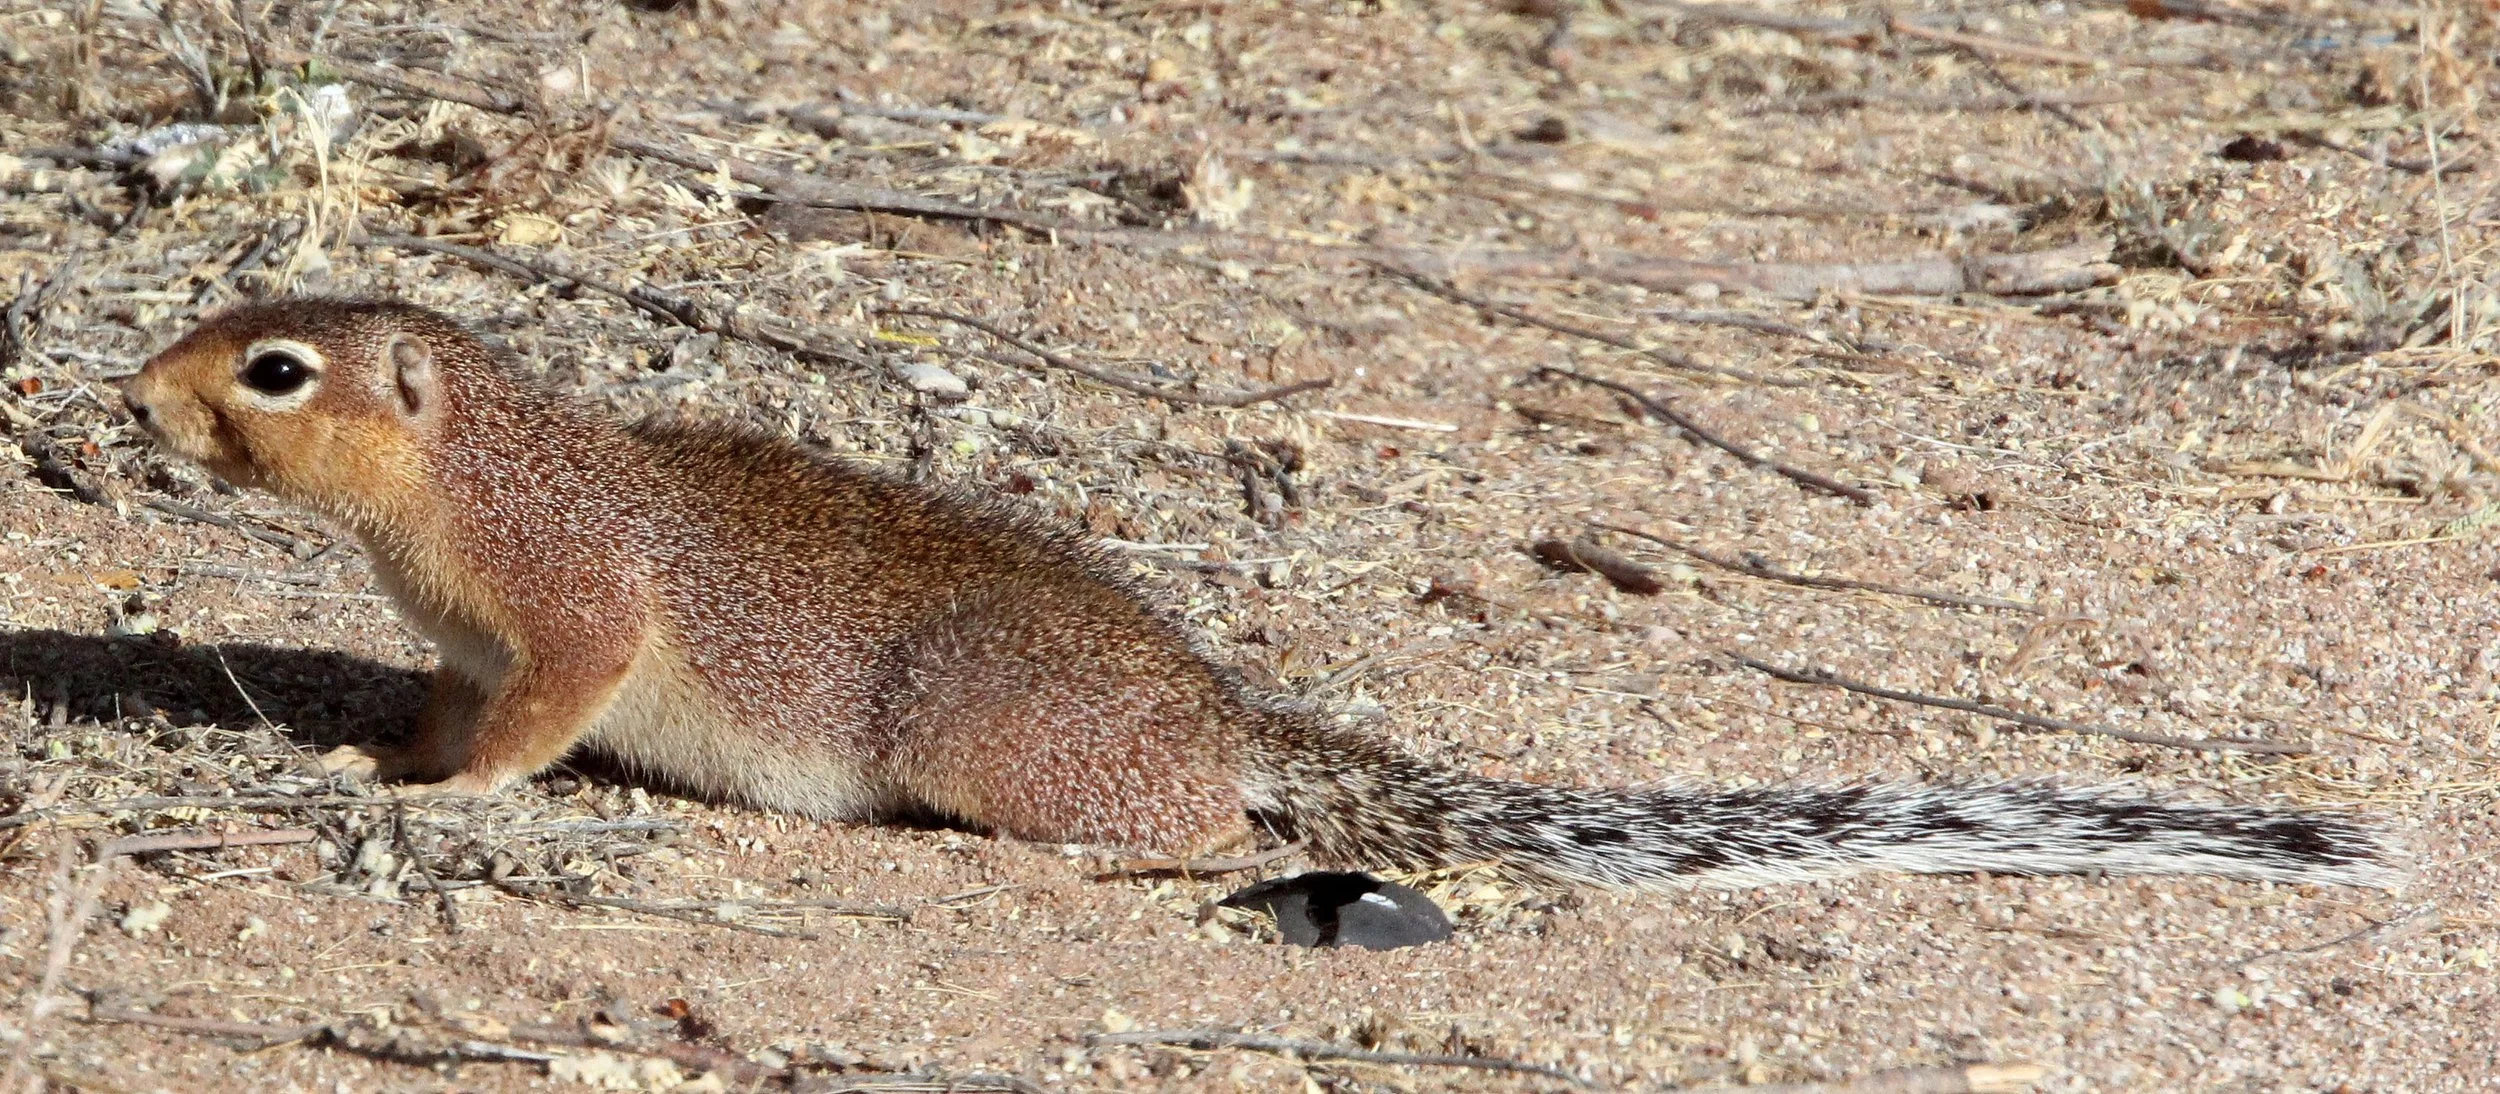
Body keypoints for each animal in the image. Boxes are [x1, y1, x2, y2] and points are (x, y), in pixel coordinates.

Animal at [119, 297, 2399, 890]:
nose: (129, 390)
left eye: (276, 369)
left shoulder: (571, 613)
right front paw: (378, 747)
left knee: (1192, 825)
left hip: (989, 753)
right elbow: (446, 696)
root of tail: (1221, 708)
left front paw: (434, 798)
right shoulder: (466, 637)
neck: (469, 480)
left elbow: (541, 716)